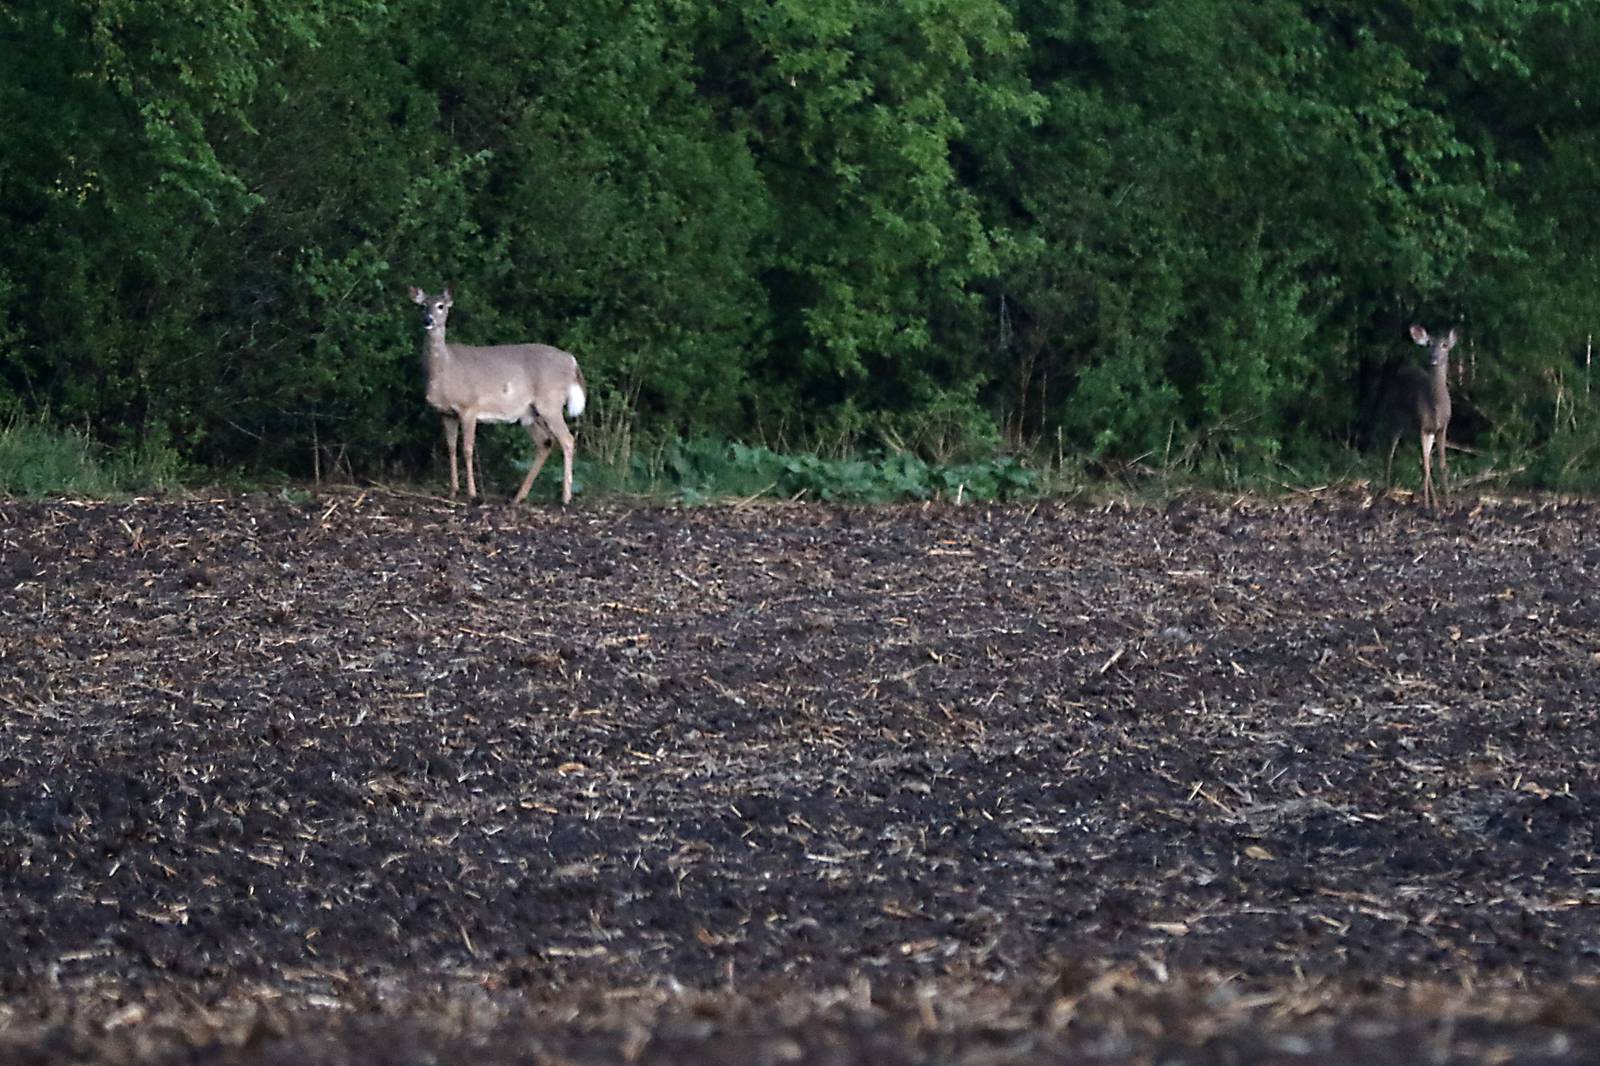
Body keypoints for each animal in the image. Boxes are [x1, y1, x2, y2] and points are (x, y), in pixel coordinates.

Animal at [408, 286, 586, 505]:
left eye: (441, 306)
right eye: (423, 306)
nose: (428, 320)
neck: (444, 370)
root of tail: (572, 361)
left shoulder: (469, 407)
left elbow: (467, 448)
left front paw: (472, 493)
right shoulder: (446, 413)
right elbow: (451, 447)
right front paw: (453, 491)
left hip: (550, 403)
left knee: (567, 440)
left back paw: (565, 498)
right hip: (529, 413)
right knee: (545, 442)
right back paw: (518, 496)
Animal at [1384, 324, 1458, 510]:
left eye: (1445, 345)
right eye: (1429, 344)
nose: (1433, 358)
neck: (1435, 406)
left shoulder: (1442, 427)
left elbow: (1441, 464)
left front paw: (1447, 502)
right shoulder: (1423, 427)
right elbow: (1426, 465)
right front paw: (1427, 504)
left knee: (1423, 460)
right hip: (1396, 417)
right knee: (1391, 450)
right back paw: (1387, 490)